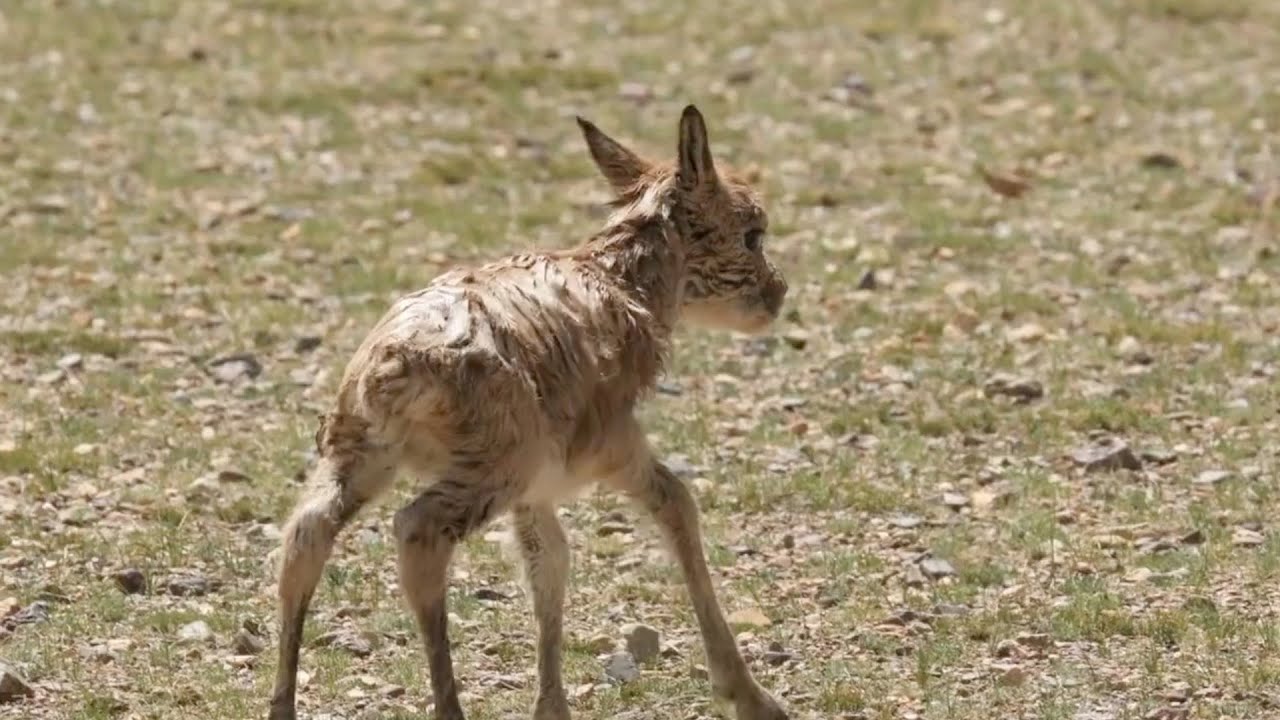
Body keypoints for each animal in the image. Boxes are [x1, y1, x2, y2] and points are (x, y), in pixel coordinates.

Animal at [269, 104, 791, 720]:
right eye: (752, 233)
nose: (779, 292)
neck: (623, 285)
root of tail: (395, 362)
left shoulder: (537, 490)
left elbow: (550, 563)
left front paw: (552, 706)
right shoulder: (612, 449)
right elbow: (677, 506)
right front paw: (750, 696)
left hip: (362, 456)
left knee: (306, 532)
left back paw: (281, 707)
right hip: (490, 469)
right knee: (417, 532)